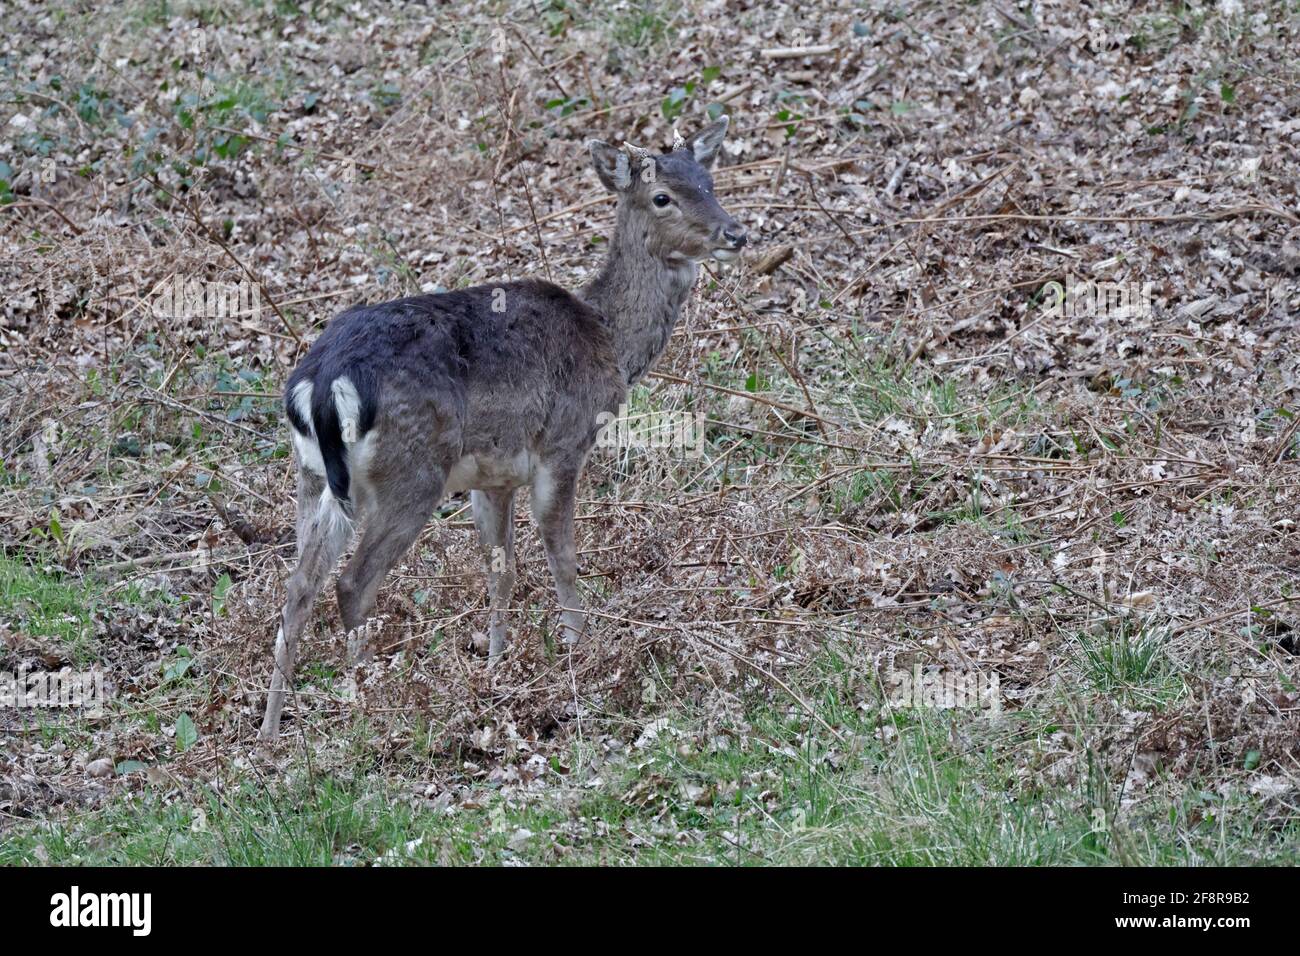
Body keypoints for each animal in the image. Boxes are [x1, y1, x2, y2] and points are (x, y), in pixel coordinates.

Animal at [258, 117, 746, 740]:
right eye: (662, 196)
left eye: (710, 182)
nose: (735, 232)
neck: (608, 341)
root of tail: (321, 384)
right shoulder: (562, 444)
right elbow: (562, 555)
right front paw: (579, 654)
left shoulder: (491, 477)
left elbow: (501, 572)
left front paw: (495, 666)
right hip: (410, 474)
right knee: (352, 583)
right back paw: (366, 700)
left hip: (314, 477)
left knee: (299, 584)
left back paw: (273, 729)